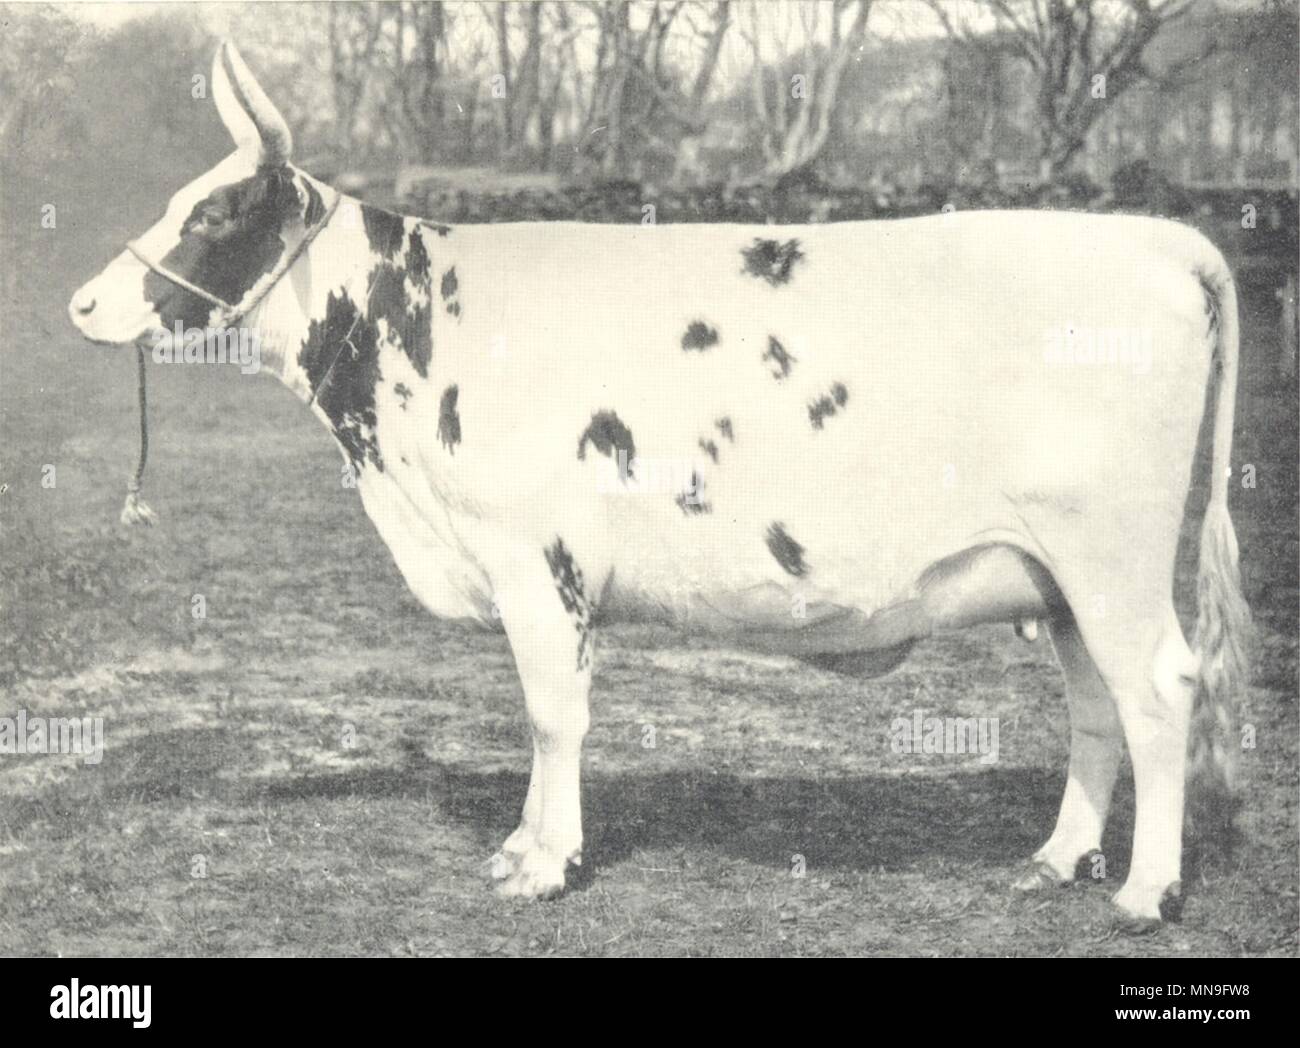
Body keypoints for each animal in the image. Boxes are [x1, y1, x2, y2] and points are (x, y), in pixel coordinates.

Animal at [70, 42, 1250, 929]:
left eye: (213, 215)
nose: (81, 303)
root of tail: (1155, 238)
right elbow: (550, 717)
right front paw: (525, 845)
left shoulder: (534, 561)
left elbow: (552, 714)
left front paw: (544, 865)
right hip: (1058, 575)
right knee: (1095, 702)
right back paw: (1057, 860)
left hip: (1112, 555)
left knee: (1158, 688)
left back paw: (1146, 891)